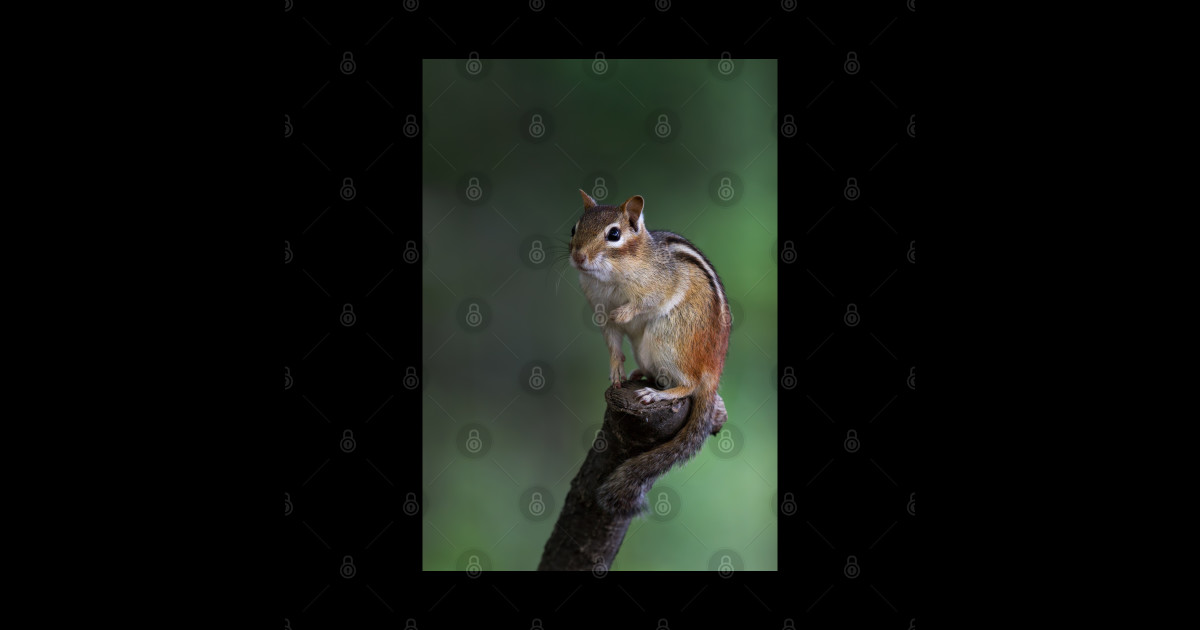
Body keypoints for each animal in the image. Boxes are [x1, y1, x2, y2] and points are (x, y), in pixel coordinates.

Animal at [569, 189, 730, 517]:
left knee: (690, 384)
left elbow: (645, 301)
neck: (611, 275)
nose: (578, 257)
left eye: (614, 234)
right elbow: (612, 342)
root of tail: (714, 370)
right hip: (646, 349)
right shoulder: (599, 310)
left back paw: (657, 394)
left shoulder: (661, 283)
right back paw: (639, 374)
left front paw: (624, 311)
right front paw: (616, 370)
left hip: (667, 339)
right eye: (573, 229)